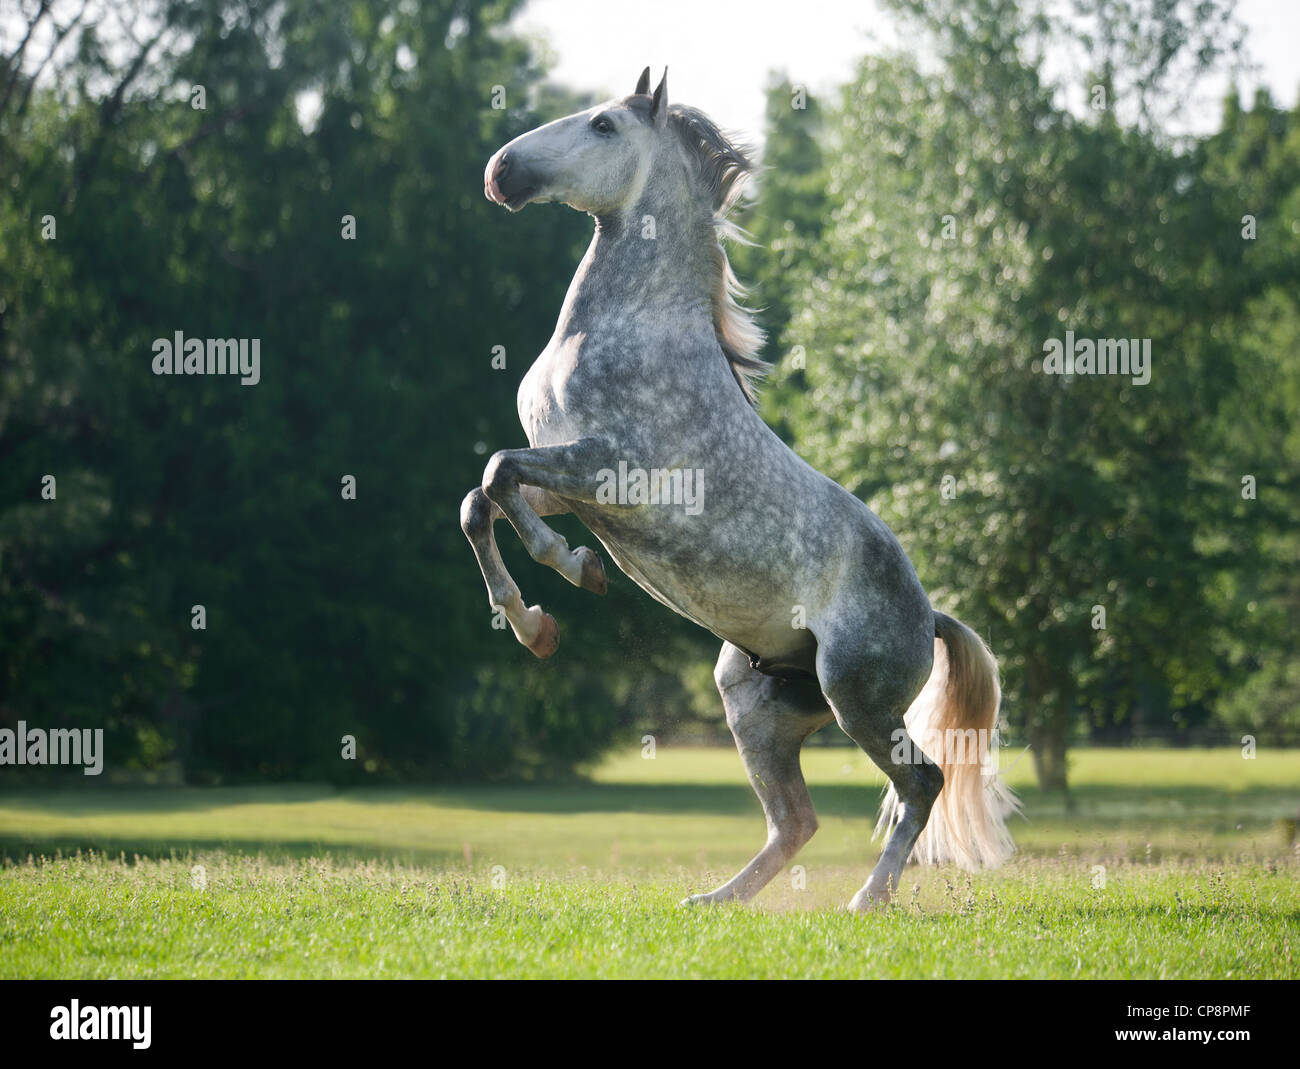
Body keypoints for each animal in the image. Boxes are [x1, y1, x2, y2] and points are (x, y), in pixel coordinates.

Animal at [462, 67, 1018, 910]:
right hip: (753, 703)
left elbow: (499, 473)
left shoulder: (607, 473)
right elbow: (481, 500)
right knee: (796, 820)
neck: (630, 331)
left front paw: (573, 572)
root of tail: (931, 618)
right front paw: (535, 625)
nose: (501, 171)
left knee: (921, 782)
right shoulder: (570, 480)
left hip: (856, 696)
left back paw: (866, 899)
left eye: (603, 125)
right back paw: (714, 900)